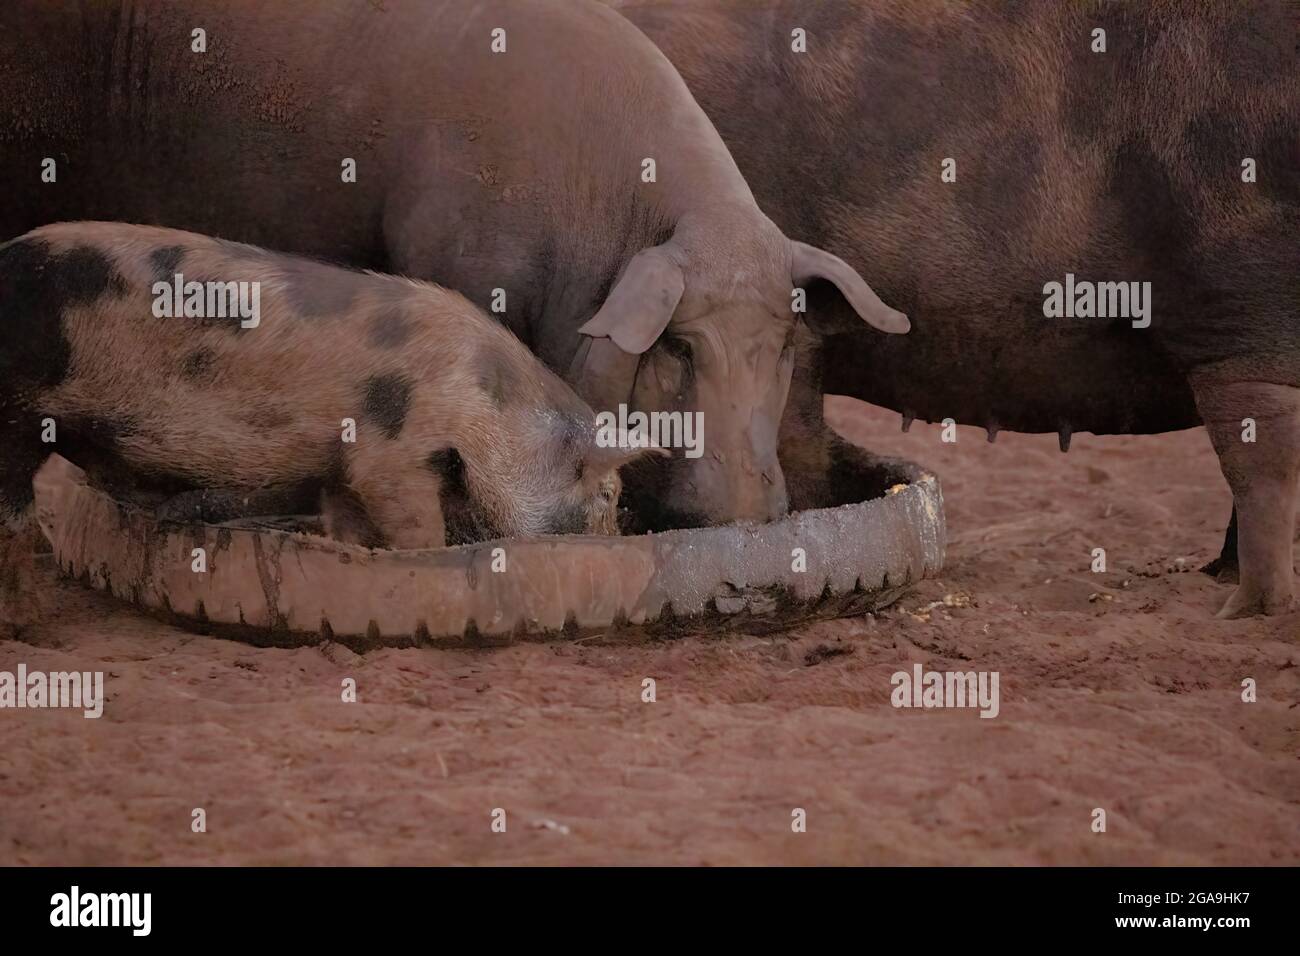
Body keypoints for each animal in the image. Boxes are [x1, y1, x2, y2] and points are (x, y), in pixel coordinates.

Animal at [0, 222, 650, 552]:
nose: (618, 537)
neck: (488, 401)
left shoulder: (339, 467)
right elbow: (417, 524)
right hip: (18, 410)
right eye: (607, 495)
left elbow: (349, 520)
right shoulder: (393, 449)